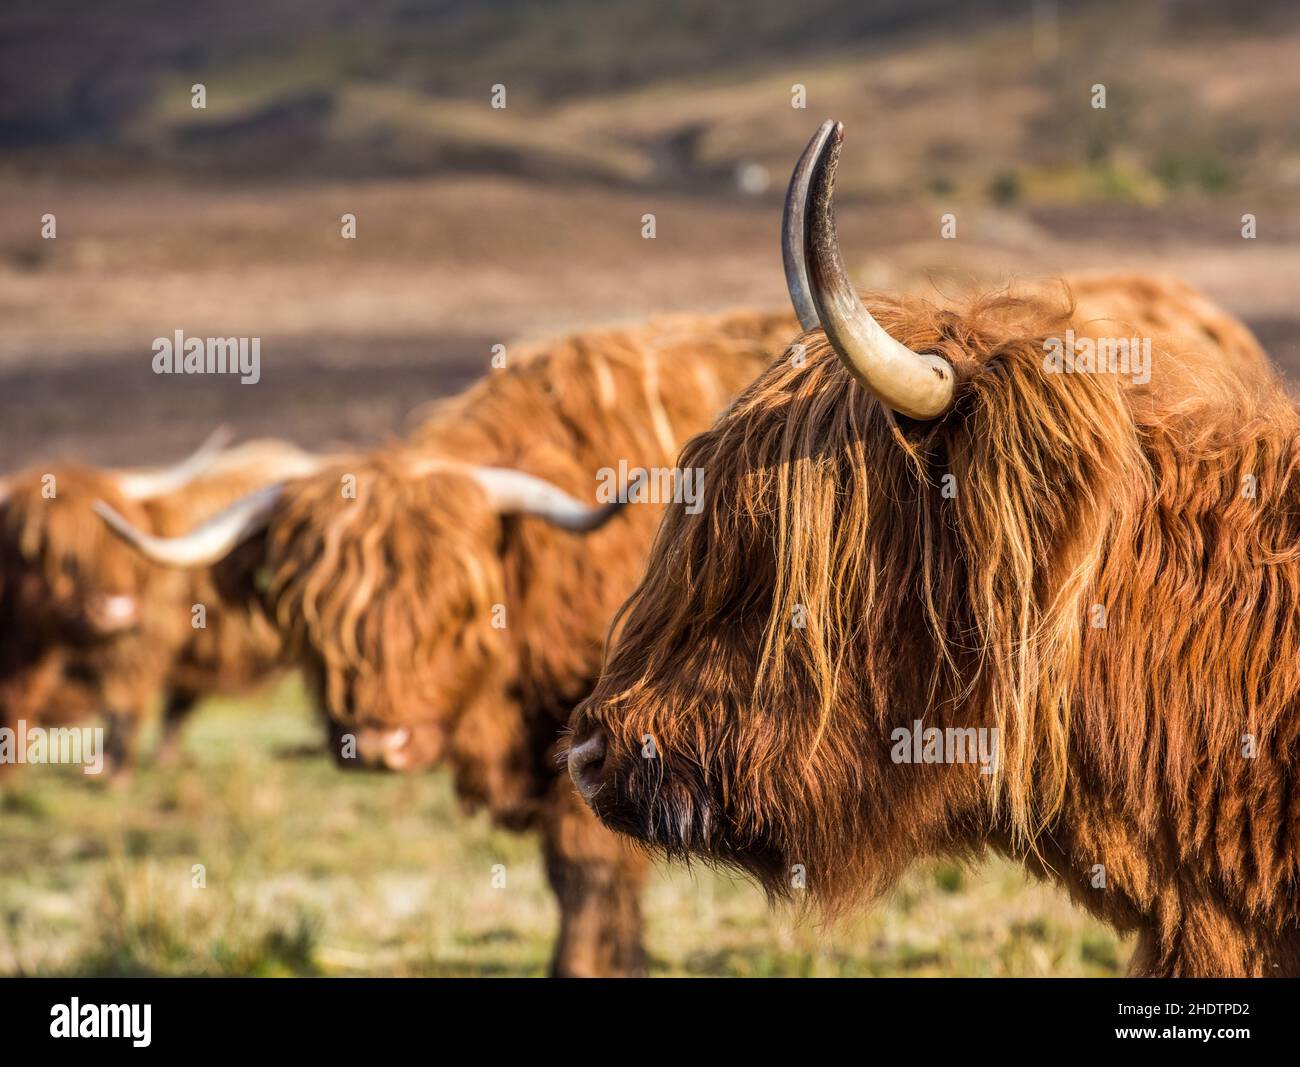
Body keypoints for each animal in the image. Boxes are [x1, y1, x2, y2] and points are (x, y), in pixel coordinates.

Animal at [0, 435, 320, 778]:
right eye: (47, 552)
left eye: (117, 552)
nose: (115, 612)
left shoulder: (138, 648)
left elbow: (123, 707)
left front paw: (113, 772)